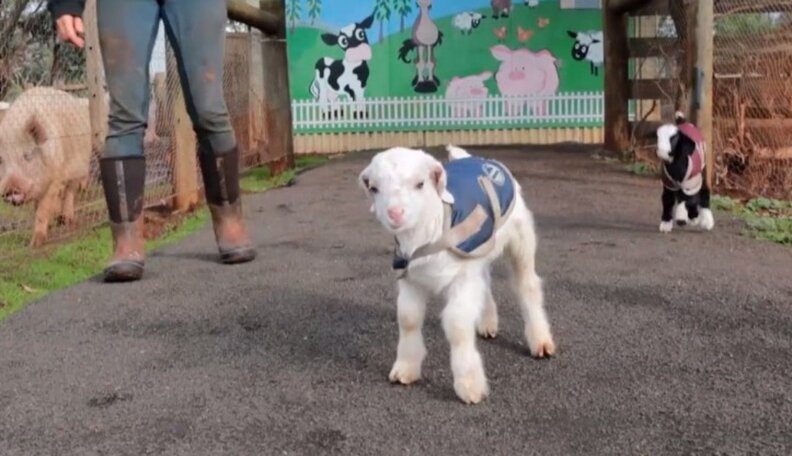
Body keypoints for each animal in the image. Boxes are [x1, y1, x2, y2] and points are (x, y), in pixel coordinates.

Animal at [358, 145, 556, 404]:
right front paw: (406, 368)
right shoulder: (411, 278)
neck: (433, 228)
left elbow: (457, 325)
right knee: (485, 281)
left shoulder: (463, 278)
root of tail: (473, 158)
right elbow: (408, 318)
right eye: (374, 188)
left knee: (527, 285)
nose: (395, 213)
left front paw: (469, 385)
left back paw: (540, 341)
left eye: (420, 184)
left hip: (520, 237)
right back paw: (488, 323)